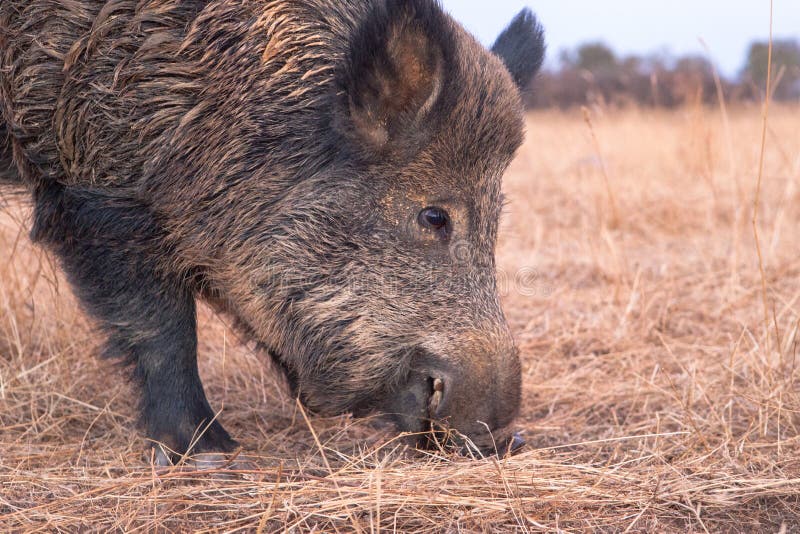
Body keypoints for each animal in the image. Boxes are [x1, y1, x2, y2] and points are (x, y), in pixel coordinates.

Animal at [0, 0, 544, 463]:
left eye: (497, 218)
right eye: (434, 217)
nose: (499, 437)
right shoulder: (95, 188)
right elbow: (163, 329)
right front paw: (211, 455)